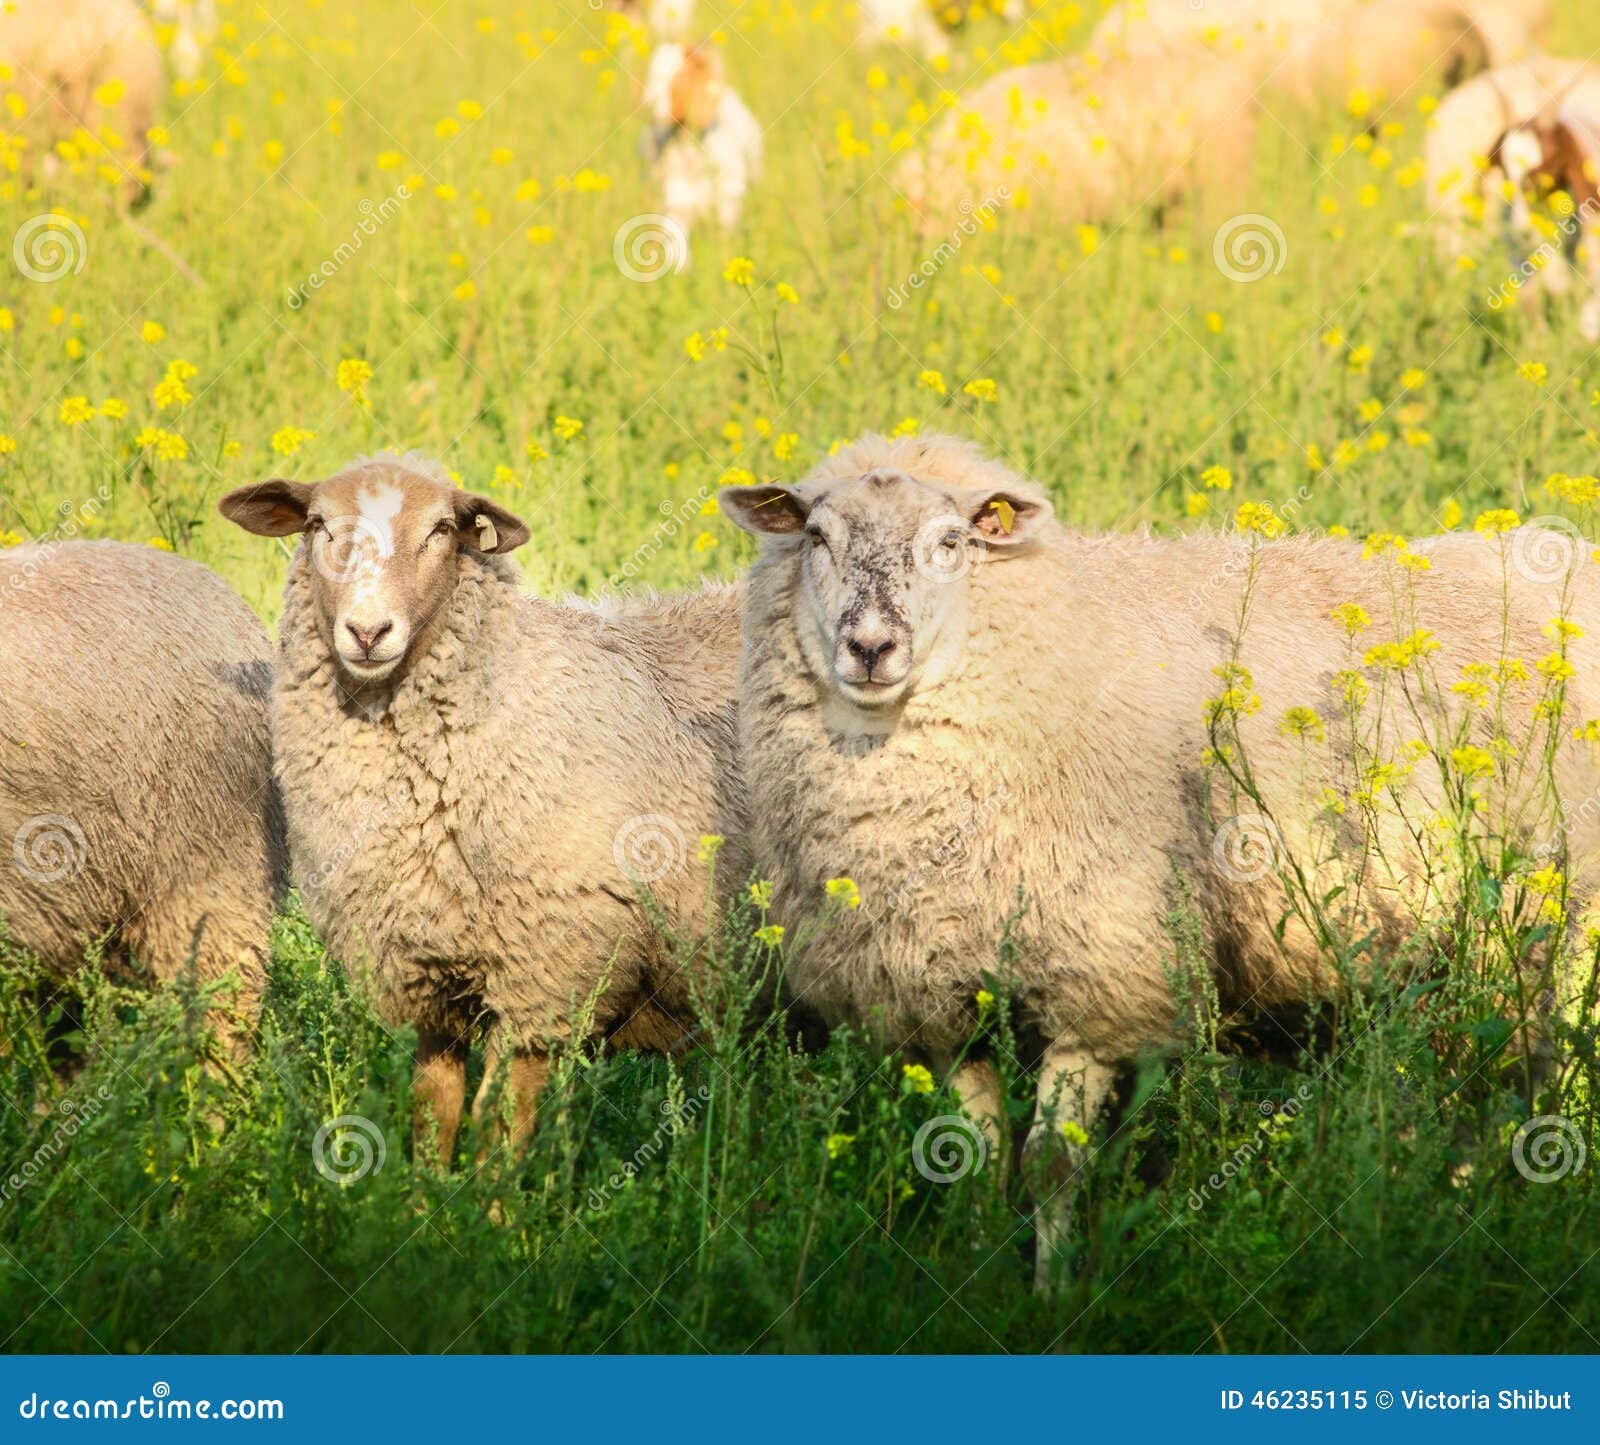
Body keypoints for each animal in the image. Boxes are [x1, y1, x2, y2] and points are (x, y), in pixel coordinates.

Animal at [218, 452, 745, 1167]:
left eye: (442, 530)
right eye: (319, 525)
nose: (367, 631)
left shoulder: (546, 968)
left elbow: (500, 1122)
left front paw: (493, 1200)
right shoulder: (422, 972)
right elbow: (433, 1110)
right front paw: (426, 1191)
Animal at [721, 433, 1600, 1288]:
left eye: (951, 541)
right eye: (816, 537)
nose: (870, 648)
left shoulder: (1103, 984)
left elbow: (1051, 1163)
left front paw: (1051, 1296)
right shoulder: (941, 1004)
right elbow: (968, 1161)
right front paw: (972, 1279)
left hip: (1541, 941)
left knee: (1525, 1086)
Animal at [1424, 59, 1600, 337]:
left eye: (1549, 167)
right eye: (1504, 171)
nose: (1522, 231)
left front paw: (1584, 332)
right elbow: (1530, 294)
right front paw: (1537, 339)